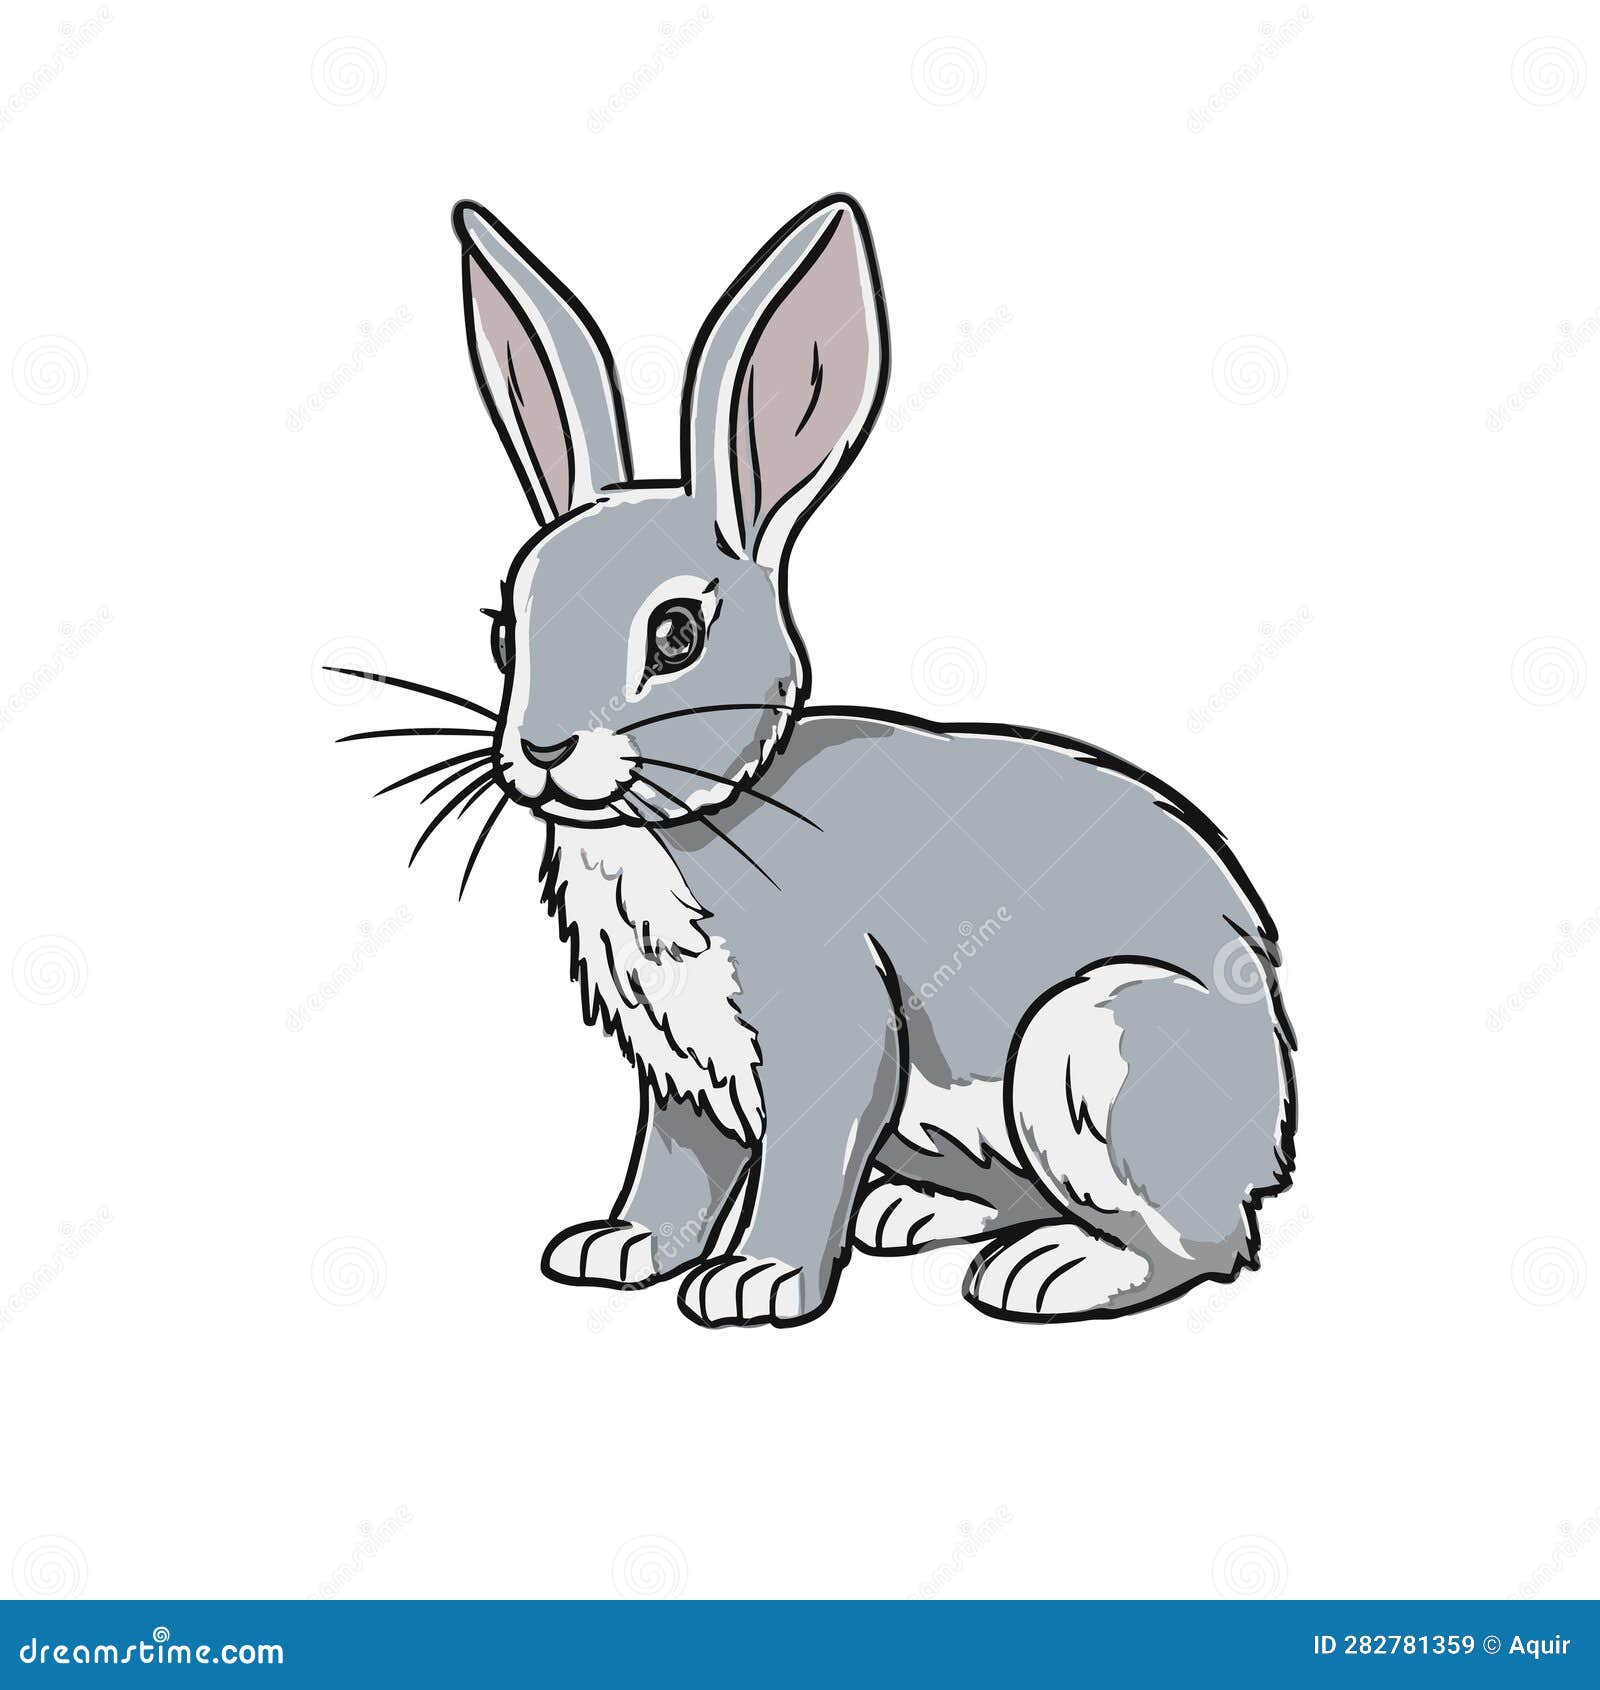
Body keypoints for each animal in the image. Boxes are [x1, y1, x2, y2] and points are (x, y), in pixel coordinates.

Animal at [339, 193, 1296, 1329]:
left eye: (674, 634)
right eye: (503, 630)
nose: (539, 750)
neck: (692, 817)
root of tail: (1271, 1135)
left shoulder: (827, 1034)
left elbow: (798, 1166)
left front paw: (754, 1284)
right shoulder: (676, 1076)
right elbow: (674, 1170)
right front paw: (618, 1249)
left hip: (1089, 1049)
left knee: (1199, 1244)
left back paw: (1048, 1270)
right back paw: (913, 1216)